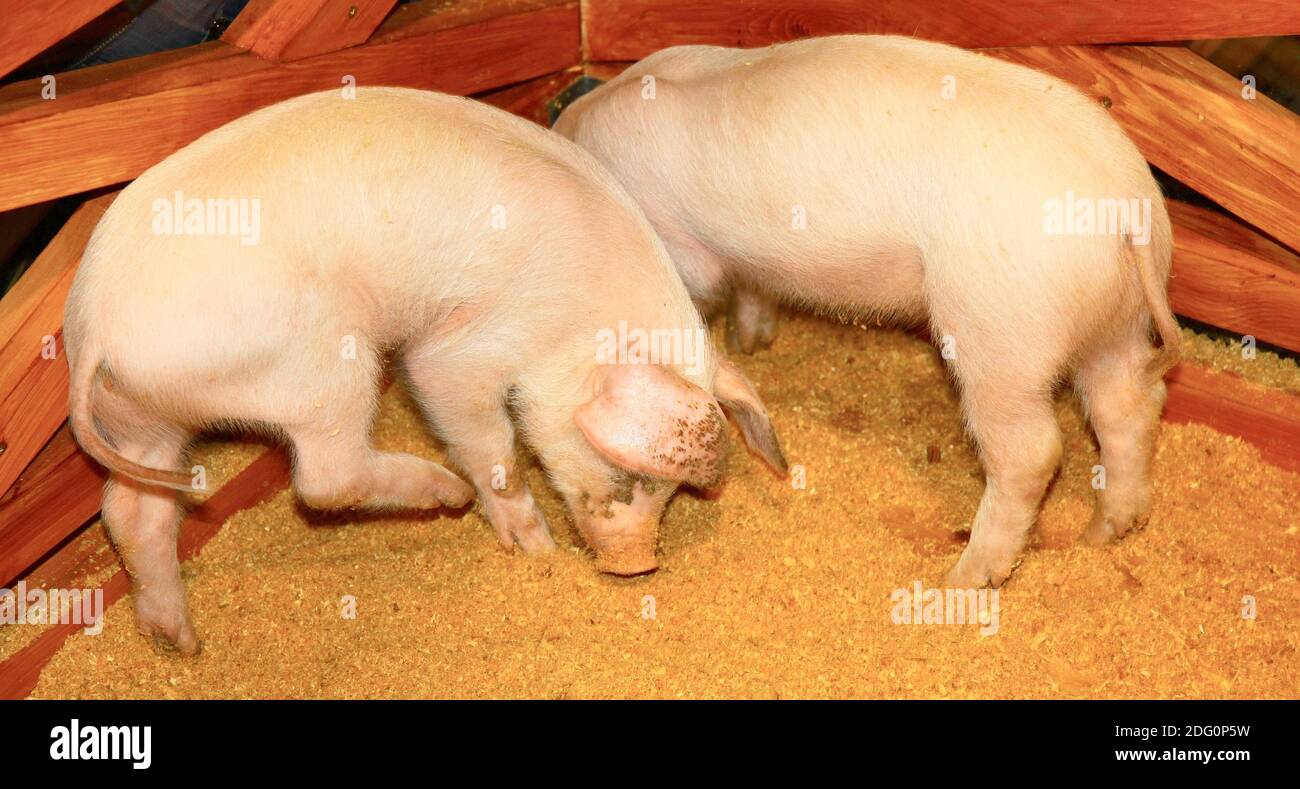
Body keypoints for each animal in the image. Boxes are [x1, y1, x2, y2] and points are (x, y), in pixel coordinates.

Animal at [64, 87, 786, 654]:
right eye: (628, 474)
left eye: (672, 494)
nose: (637, 568)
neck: (575, 322)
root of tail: (95, 326)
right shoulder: (465, 348)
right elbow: (479, 430)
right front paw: (536, 549)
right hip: (319, 369)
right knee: (323, 479)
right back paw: (448, 493)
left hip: (149, 416)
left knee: (130, 507)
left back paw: (177, 641)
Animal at [555, 35, 1182, 588]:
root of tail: (1126, 207)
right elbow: (753, 287)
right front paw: (754, 341)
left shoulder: (681, 246)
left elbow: (707, 291)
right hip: (1116, 324)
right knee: (1131, 404)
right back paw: (1107, 533)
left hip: (1001, 331)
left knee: (1032, 452)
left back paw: (965, 578)